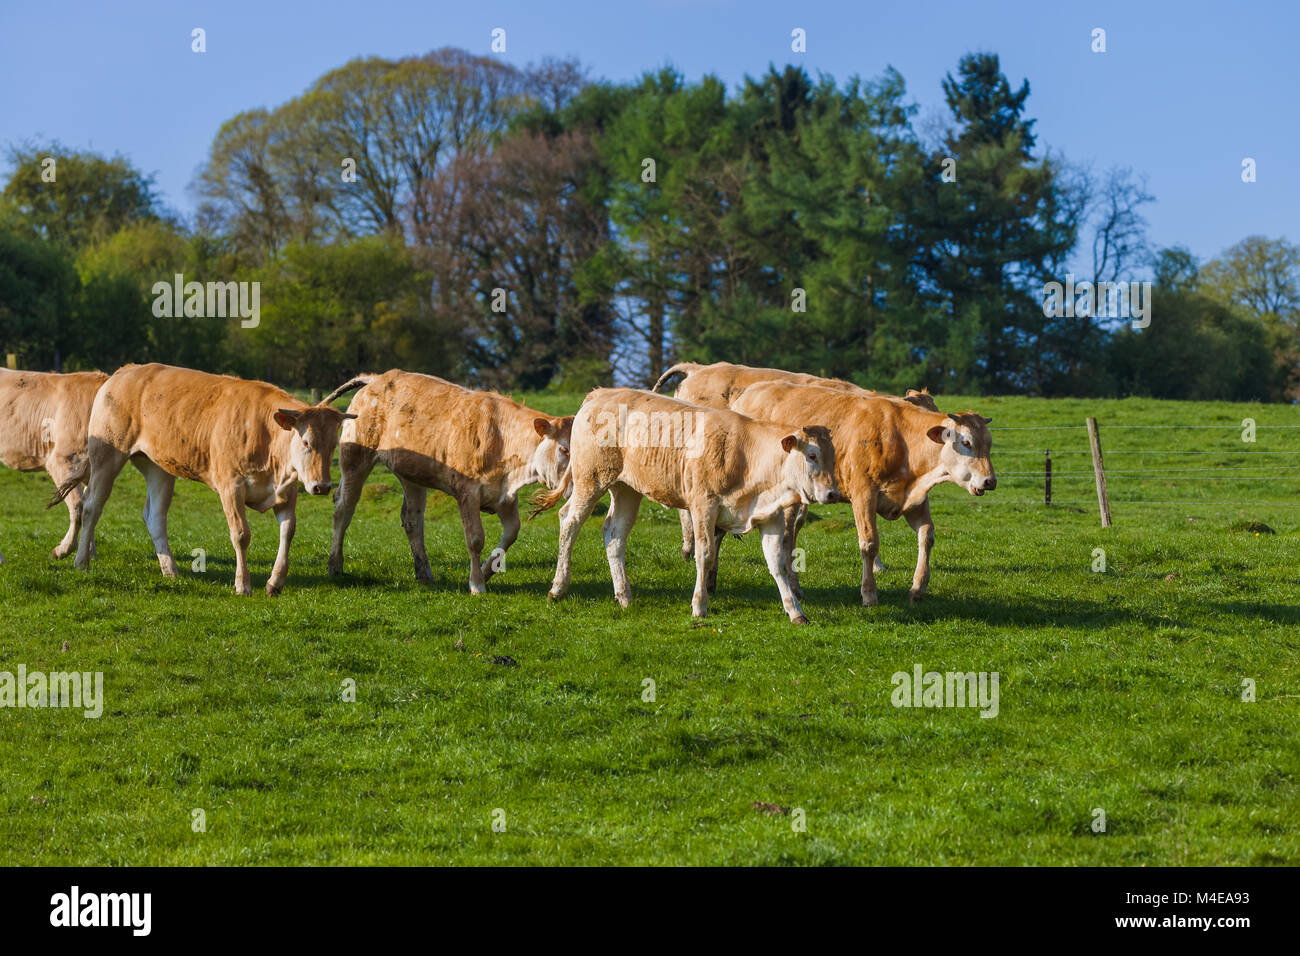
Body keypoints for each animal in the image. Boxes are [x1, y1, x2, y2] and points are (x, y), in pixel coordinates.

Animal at [54, 363, 353, 595]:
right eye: (306, 442)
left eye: (333, 446)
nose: (322, 486)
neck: (267, 436)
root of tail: (125, 371)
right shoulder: (231, 487)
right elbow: (241, 534)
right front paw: (242, 584)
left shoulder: (286, 492)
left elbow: (287, 532)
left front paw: (275, 582)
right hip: (107, 456)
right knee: (91, 506)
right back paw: (81, 561)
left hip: (158, 468)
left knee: (154, 517)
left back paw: (170, 570)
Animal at [321, 371, 574, 594]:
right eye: (564, 448)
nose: (574, 485)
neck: (502, 439)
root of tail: (376, 378)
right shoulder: (468, 493)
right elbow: (475, 539)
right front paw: (477, 584)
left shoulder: (506, 497)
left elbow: (511, 534)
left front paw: (486, 571)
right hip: (354, 459)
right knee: (343, 508)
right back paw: (335, 564)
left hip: (412, 475)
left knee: (412, 520)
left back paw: (424, 573)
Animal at [531, 387, 840, 623]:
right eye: (812, 455)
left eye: (832, 457)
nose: (832, 493)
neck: (747, 455)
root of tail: (600, 393)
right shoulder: (703, 506)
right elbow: (704, 554)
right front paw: (699, 605)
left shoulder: (770, 515)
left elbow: (778, 564)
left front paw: (795, 610)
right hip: (591, 480)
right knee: (569, 521)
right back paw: (558, 588)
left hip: (626, 489)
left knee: (614, 535)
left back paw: (624, 596)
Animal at [727, 382, 995, 606]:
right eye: (967, 443)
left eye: (989, 443)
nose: (990, 481)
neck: (900, 440)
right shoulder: (863, 495)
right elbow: (869, 543)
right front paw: (869, 594)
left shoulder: (915, 499)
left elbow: (926, 535)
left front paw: (918, 588)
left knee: (789, 534)